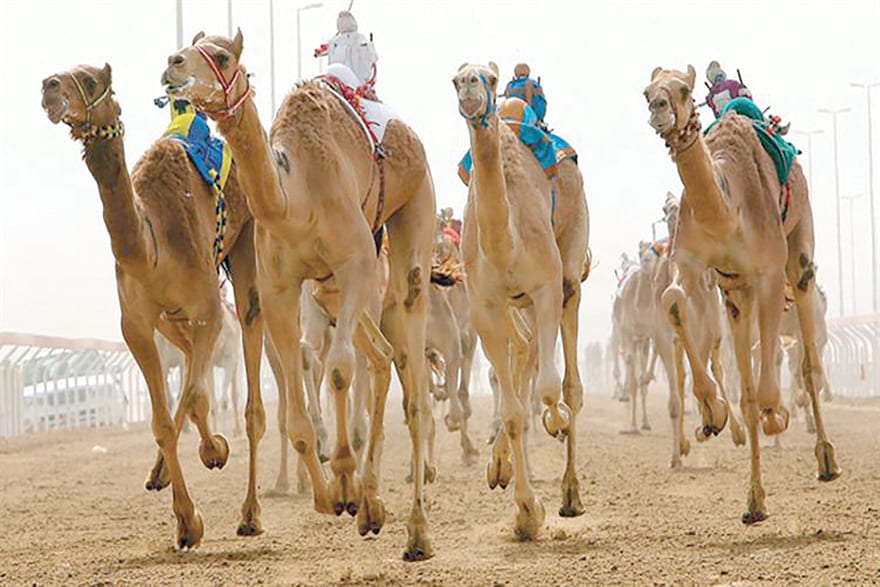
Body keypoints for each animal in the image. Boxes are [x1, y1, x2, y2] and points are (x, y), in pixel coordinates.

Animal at [41, 64, 273, 548]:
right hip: (171, 320)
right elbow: (164, 420)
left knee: (250, 380)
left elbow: (198, 395)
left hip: (245, 249)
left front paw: (214, 451)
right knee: (187, 373)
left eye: (89, 80)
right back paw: (164, 472)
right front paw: (186, 521)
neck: (151, 245)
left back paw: (249, 512)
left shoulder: (206, 307)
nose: (49, 87)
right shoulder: (136, 325)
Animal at [162, 31, 436, 560]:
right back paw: (371, 506)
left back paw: (416, 530)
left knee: (408, 374)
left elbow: (339, 368)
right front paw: (332, 497)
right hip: (329, 290)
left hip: (411, 214)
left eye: (222, 55)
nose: (173, 63)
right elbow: (297, 417)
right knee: (381, 355)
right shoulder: (279, 291)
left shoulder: (356, 262)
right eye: (192, 46)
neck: (296, 199)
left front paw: (345, 478)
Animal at [453, 63, 589, 538]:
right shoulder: (485, 307)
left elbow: (549, 388)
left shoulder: (546, 286)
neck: (505, 244)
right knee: (525, 359)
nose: (469, 89)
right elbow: (513, 411)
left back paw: (571, 493)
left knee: (567, 381)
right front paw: (526, 512)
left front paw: (557, 421)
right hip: (518, 307)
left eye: (487, 78)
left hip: (569, 271)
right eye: (456, 78)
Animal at [645, 65, 840, 523]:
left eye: (683, 90)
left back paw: (826, 459)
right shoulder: (698, 264)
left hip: (797, 253)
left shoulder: (767, 272)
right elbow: (672, 300)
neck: (726, 211)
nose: (659, 109)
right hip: (737, 294)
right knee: (749, 384)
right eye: (647, 91)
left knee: (808, 359)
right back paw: (755, 501)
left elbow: (769, 389)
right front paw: (711, 413)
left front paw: (779, 416)